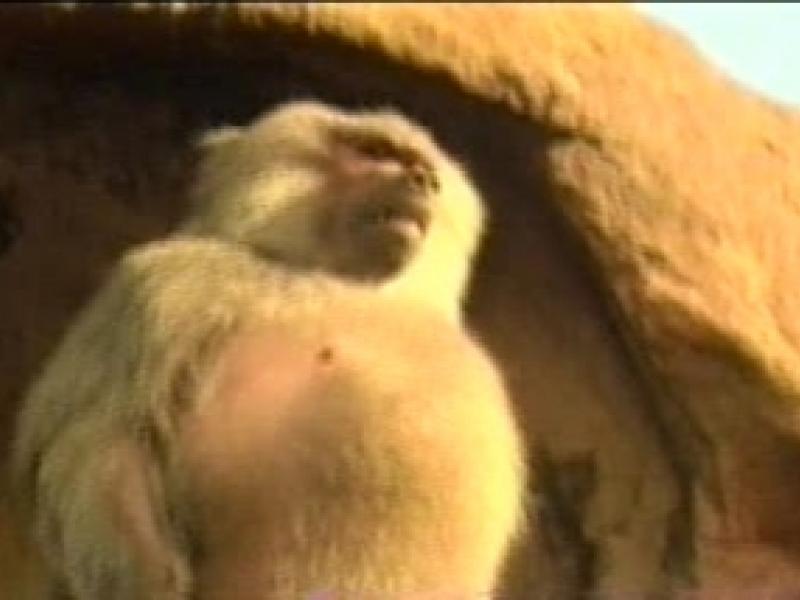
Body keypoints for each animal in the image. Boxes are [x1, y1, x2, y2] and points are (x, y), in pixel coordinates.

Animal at [10, 100, 525, 600]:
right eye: (372, 149)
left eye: (425, 169)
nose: (422, 181)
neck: (341, 281)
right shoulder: (160, 286)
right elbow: (96, 436)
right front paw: (154, 582)